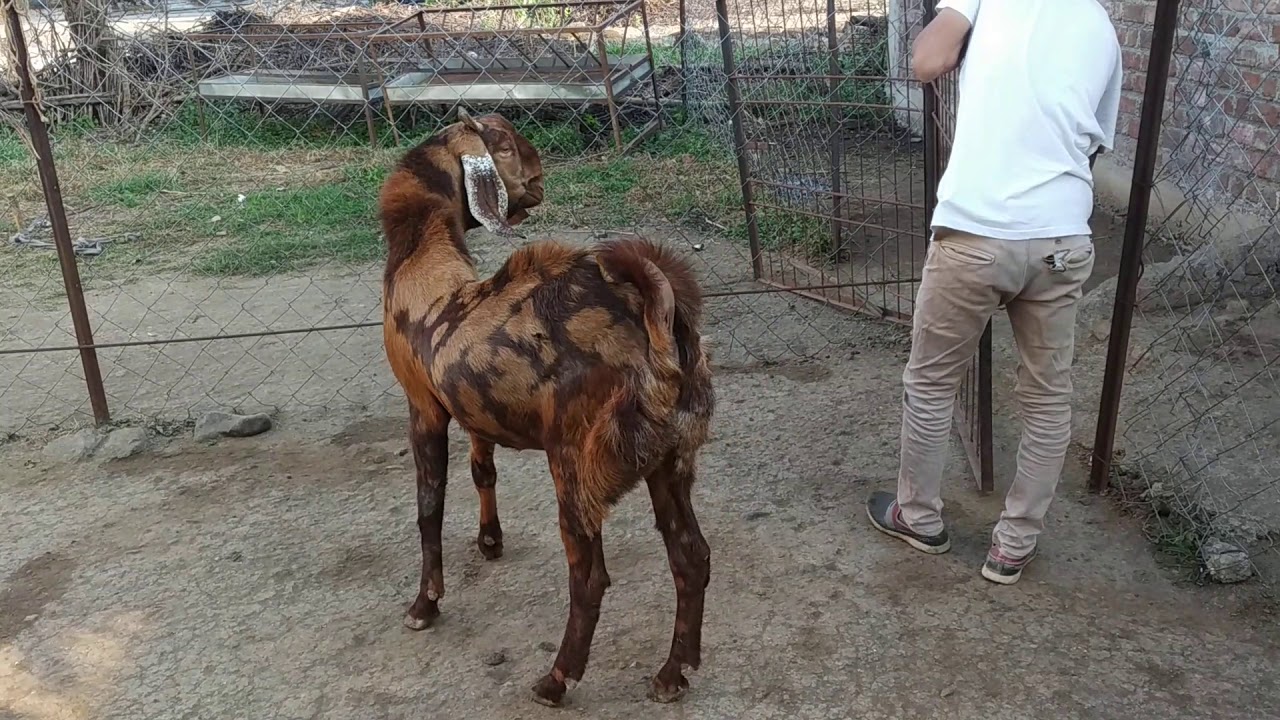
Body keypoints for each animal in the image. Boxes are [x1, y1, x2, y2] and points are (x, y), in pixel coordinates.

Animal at [379, 110, 715, 707]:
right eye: (504, 143)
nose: (539, 178)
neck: (422, 263)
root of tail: (658, 324)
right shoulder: (473, 410)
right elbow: (482, 469)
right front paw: (490, 541)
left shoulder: (423, 405)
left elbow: (427, 509)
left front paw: (423, 605)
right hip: (670, 456)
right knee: (691, 557)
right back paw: (672, 674)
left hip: (576, 461)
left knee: (590, 577)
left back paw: (556, 680)